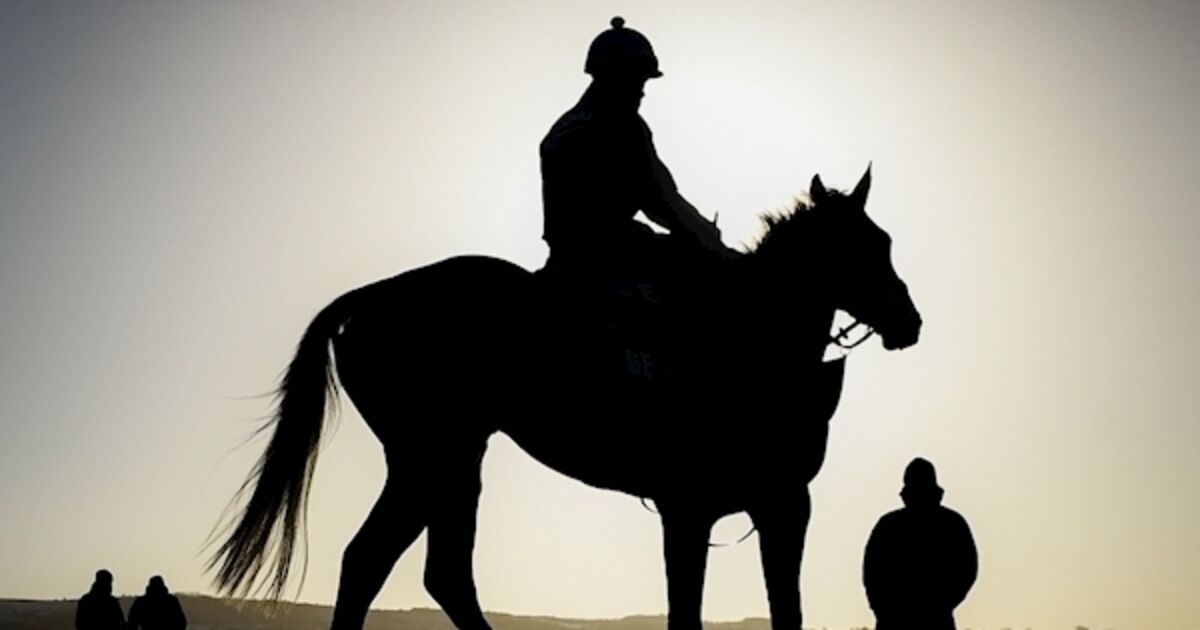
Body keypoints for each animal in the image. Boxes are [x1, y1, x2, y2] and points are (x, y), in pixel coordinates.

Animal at [208, 167, 922, 630]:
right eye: (865, 247)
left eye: (885, 242)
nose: (908, 321)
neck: (748, 340)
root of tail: (372, 297)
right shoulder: (691, 509)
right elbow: (688, 611)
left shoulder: (781, 505)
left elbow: (784, 609)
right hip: (430, 456)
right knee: (379, 562)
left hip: (452, 460)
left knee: (420, 569)